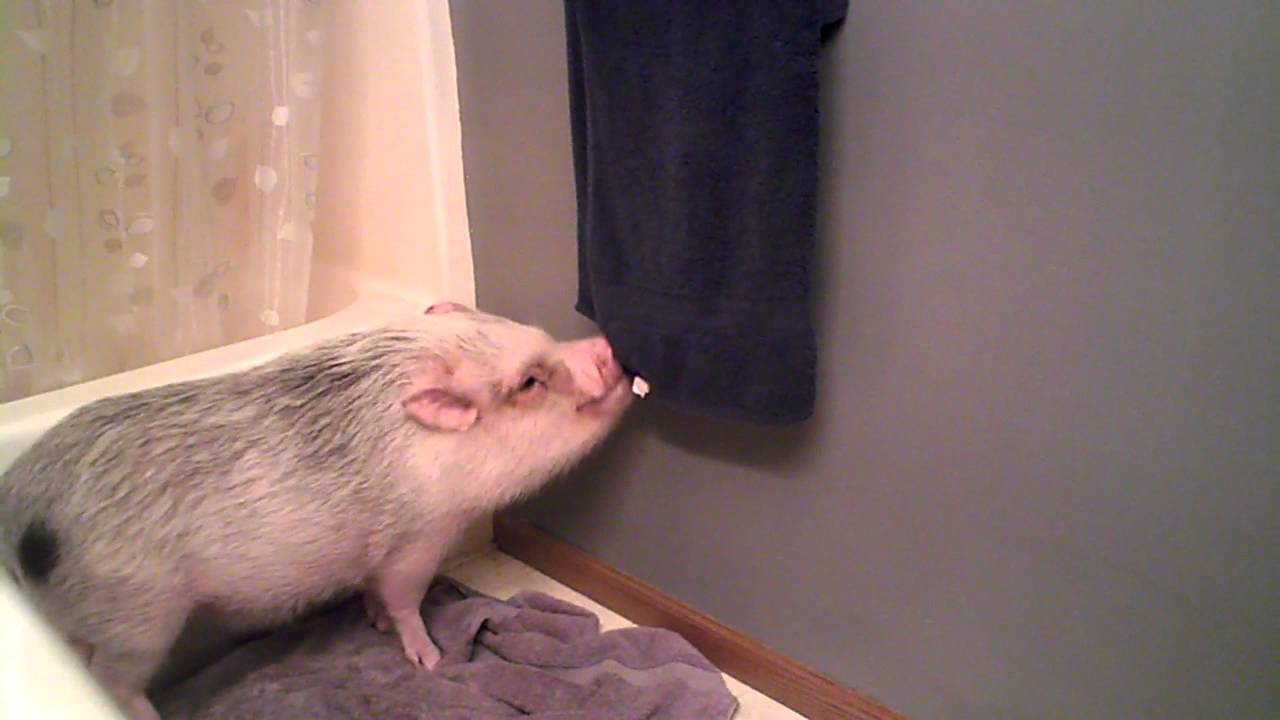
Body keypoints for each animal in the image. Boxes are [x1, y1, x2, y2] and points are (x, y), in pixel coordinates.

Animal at [0, 303, 631, 720]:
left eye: (540, 338)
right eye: (529, 382)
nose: (607, 348)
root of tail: (19, 514)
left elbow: (376, 594)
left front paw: (373, 622)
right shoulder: (417, 540)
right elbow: (405, 600)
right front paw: (429, 659)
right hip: (139, 619)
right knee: (113, 680)